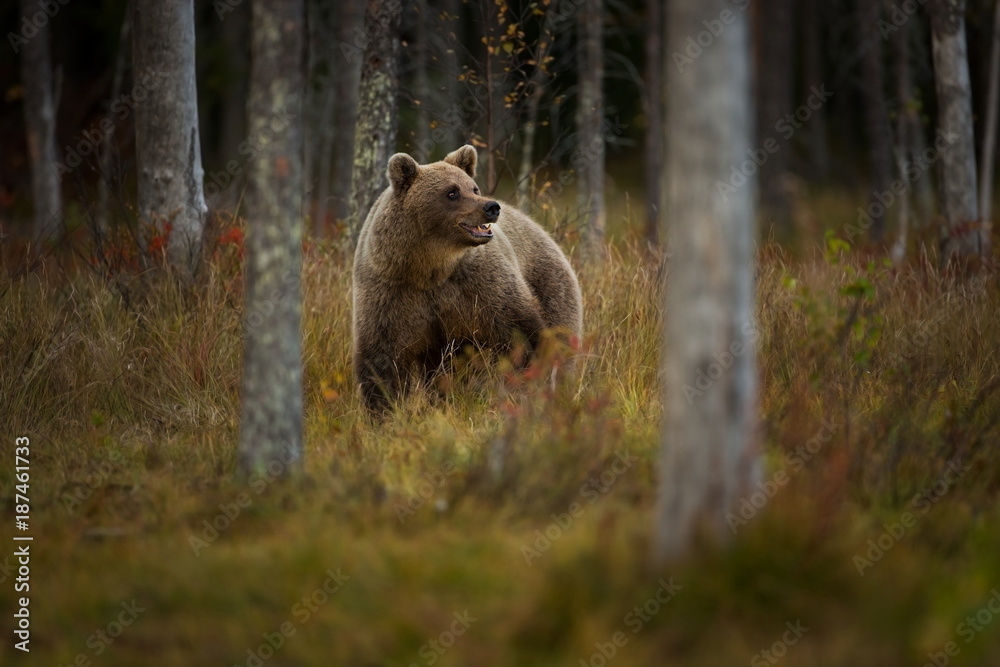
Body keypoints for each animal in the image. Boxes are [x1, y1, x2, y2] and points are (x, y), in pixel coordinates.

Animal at [352, 145, 583, 412]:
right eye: (452, 192)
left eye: (474, 188)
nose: (491, 207)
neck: (430, 268)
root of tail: (541, 230)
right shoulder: (390, 290)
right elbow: (382, 359)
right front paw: (383, 411)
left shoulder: (479, 286)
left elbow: (521, 332)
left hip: (550, 285)